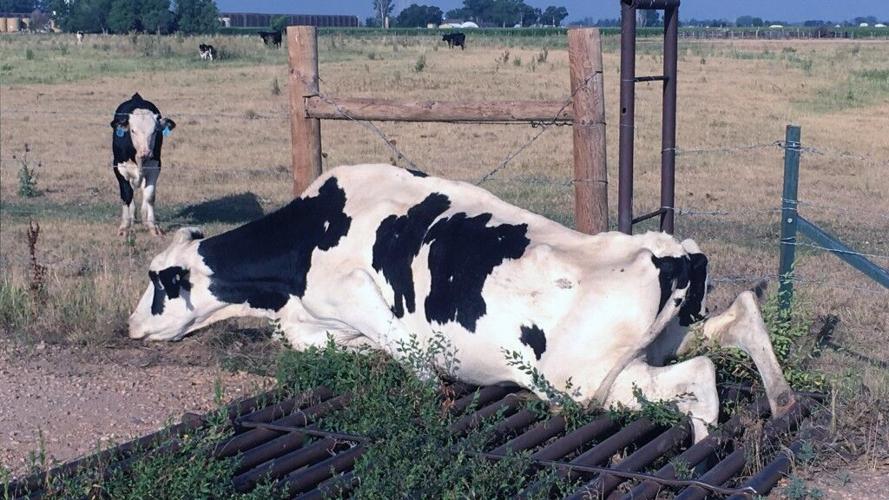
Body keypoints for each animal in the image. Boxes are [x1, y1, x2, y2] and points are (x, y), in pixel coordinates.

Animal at [110, 93, 176, 236]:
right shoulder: (119, 169)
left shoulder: (155, 168)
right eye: (133, 130)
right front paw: (125, 226)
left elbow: (150, 196)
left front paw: (152, 226)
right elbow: (127, 195)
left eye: (155, 131)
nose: (145, 153)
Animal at [128, 164, 794, 441]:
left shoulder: (373, 316)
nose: (130, 325)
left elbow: (413, 367)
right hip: (666, 338)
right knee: (739, 321)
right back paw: (781, 398)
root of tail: (666, 248)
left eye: (160, 282)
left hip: (586, 384)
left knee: (700, 380)